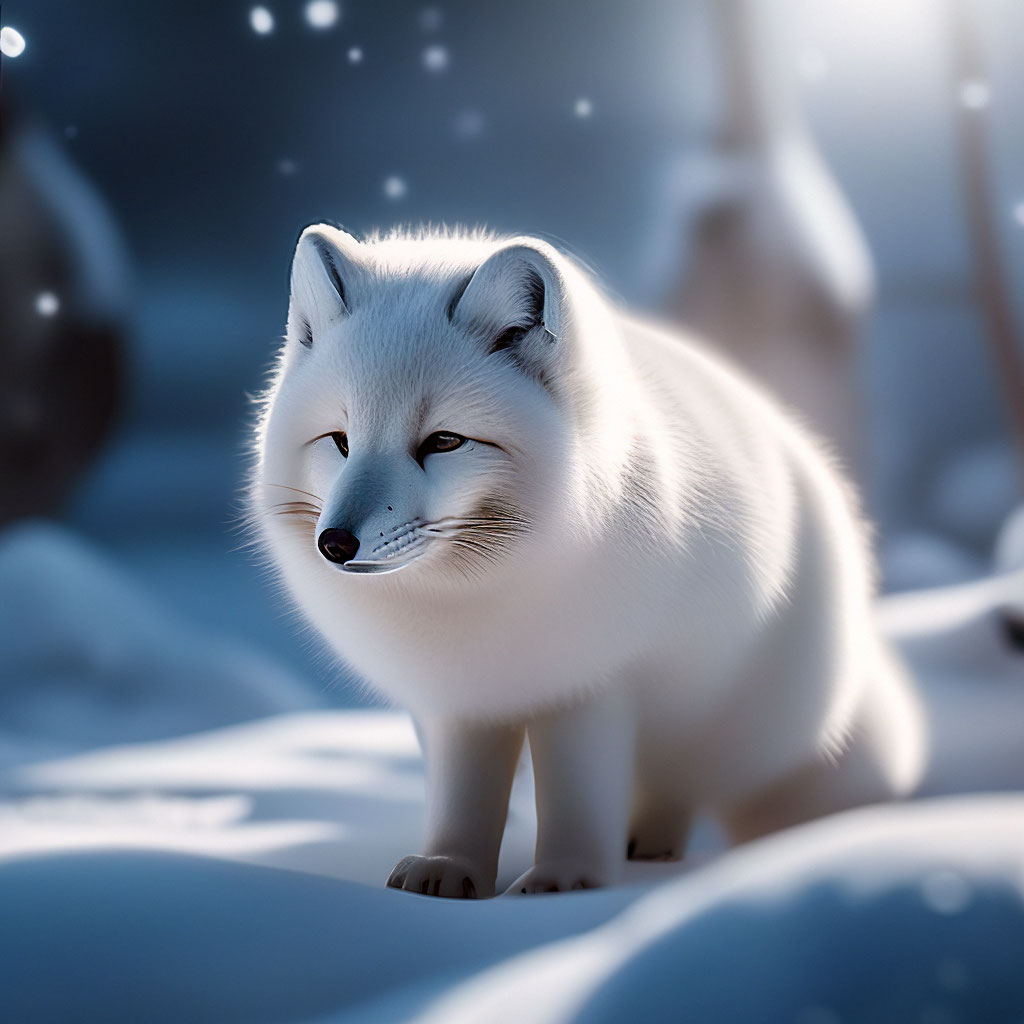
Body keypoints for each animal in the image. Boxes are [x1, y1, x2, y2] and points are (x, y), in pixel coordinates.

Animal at [251, 224, 926, 898]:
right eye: (340, 441)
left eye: (444, 441)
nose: (335, 543)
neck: (480, 605)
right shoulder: (460, 701)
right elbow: (462, 797)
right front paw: (447, 868)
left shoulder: (593, 685)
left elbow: (576, 794)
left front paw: (563, 880)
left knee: (679, 785)